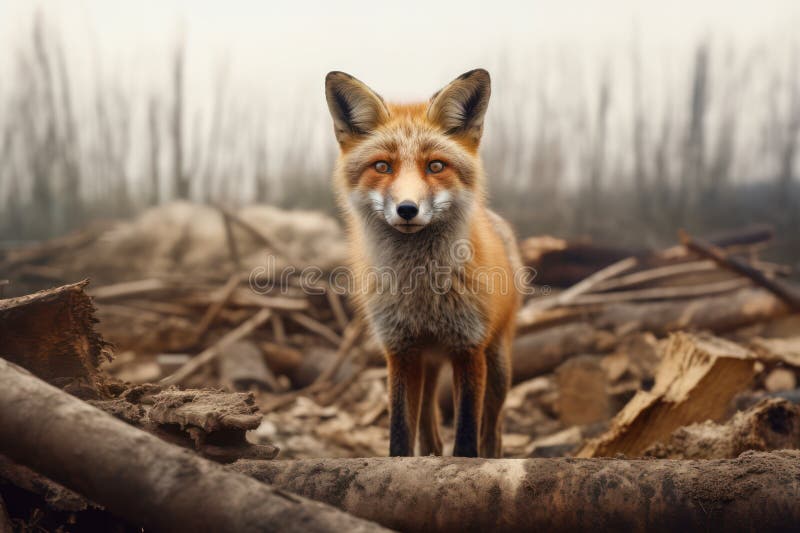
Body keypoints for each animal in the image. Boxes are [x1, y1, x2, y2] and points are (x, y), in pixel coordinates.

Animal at [324, 69, 521, 457]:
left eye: (436, 166)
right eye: (382, 166)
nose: (407, 209)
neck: (421, 294)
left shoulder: (469, 347)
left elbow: (466, 435)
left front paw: (467, 462)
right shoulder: (400, 350)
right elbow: (400, 432)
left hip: (498, 365)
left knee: (492, 428)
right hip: (428, 363)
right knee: (429, 419)